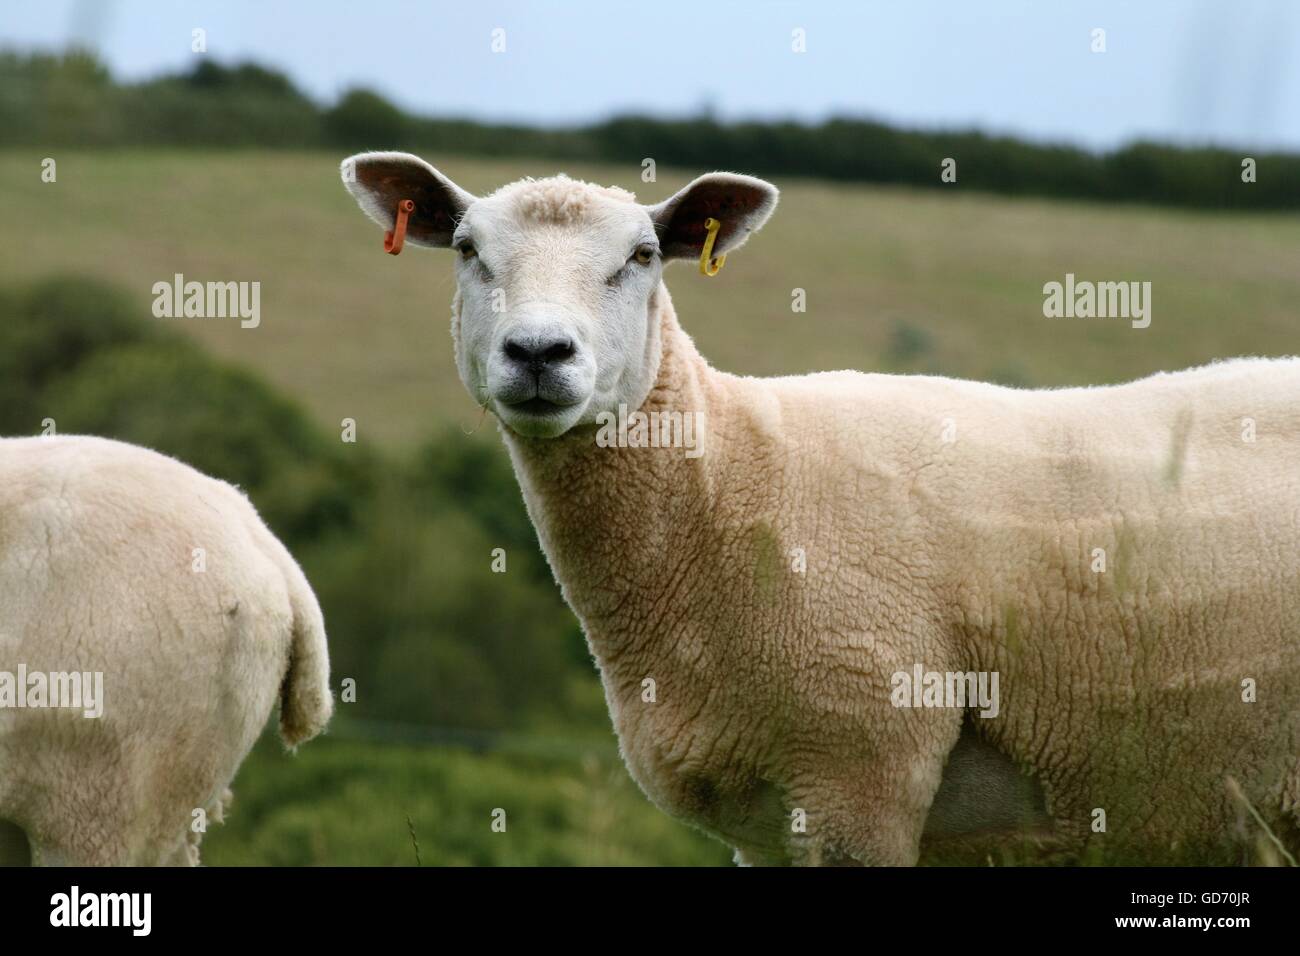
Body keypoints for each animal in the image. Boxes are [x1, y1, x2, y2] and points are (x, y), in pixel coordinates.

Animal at [341, 151, 1300, 865]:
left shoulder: (860, 779)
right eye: (467, 247)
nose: (539, 352)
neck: (732, 480)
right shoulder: (765, 823)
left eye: (642, 256)